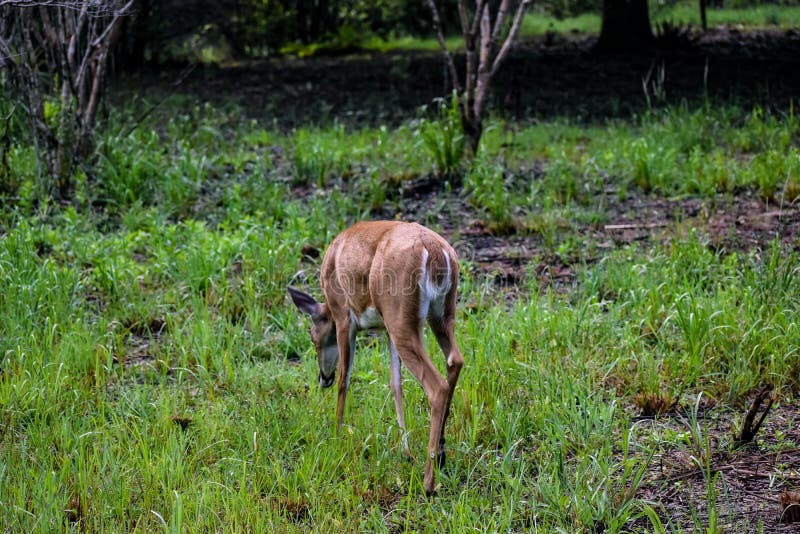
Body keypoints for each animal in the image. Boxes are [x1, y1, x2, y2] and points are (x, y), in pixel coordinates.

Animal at [287, 221, 463, 495]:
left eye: (313, 337)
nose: (322, 379)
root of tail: (434, 251)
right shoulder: (386, 330)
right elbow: (395, 384)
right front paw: (404, 449)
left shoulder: (343, 315)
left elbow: (345, 379)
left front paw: (336, 436)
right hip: (438, 313)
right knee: (455, 360)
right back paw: (441, 454)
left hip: (401, 315)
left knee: (437, 386)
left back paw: (428, 482)